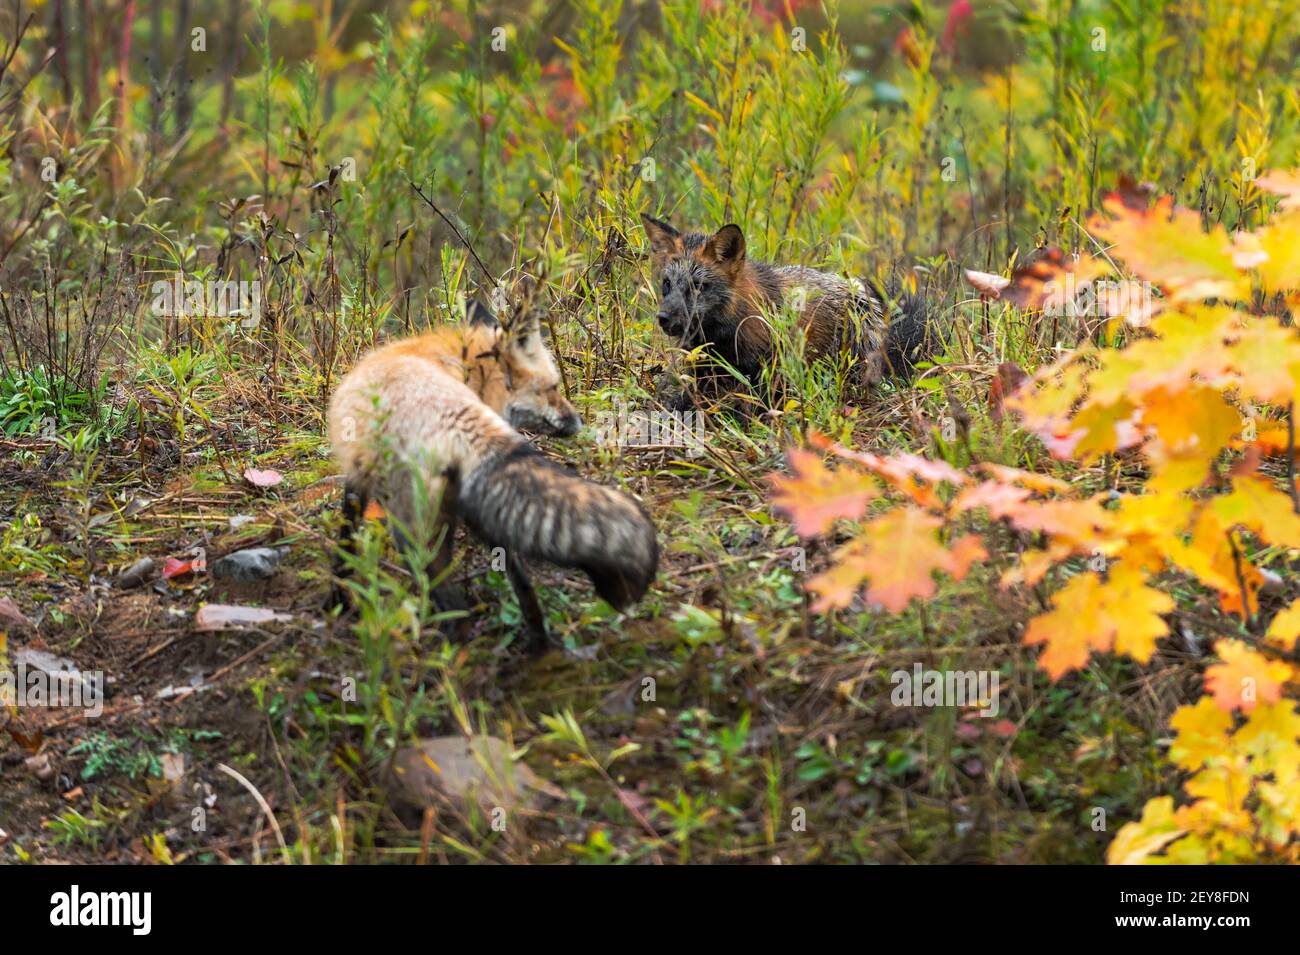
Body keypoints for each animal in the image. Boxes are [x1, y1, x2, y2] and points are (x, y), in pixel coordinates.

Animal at [326, 296, 659, 650]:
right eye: (553, 387)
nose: (579, 423)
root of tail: (453, 416)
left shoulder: (357, 479)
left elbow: (344, 544)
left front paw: (337, 598)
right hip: (479, 514)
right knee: (522, 584)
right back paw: (540, 645)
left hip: (411, 533)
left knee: (453, 609)